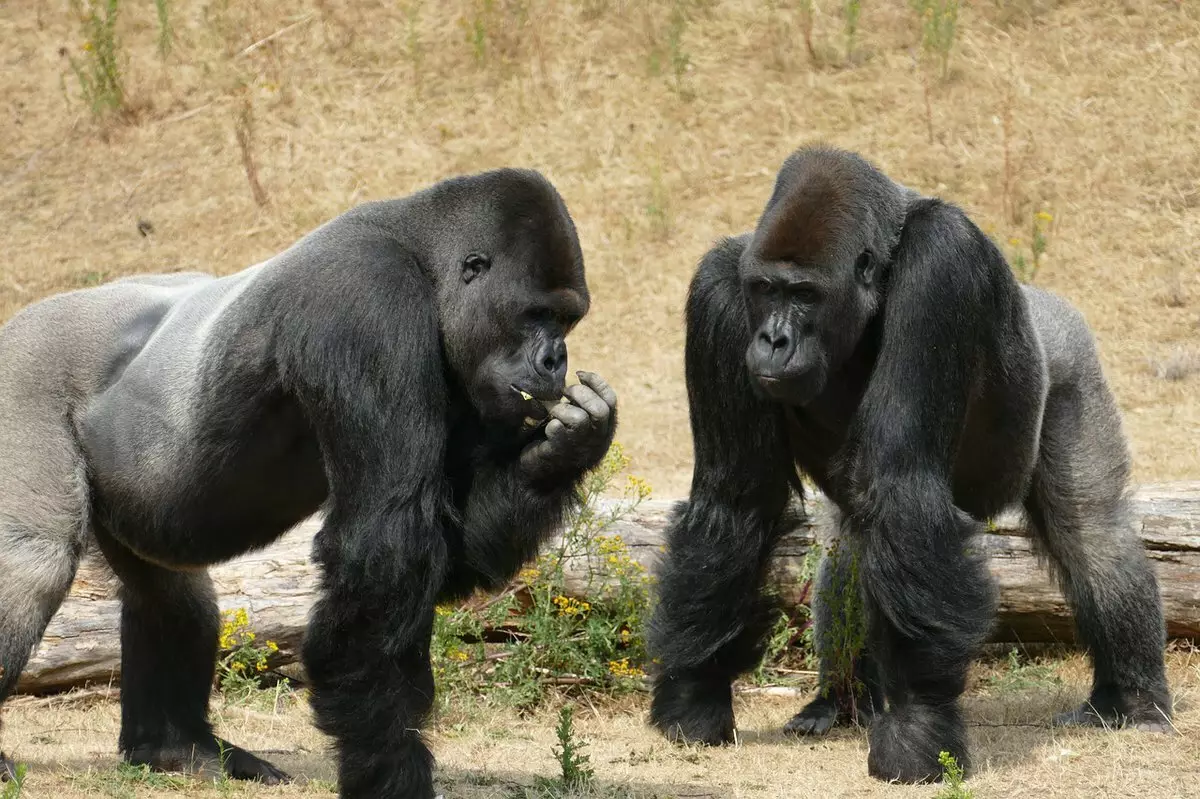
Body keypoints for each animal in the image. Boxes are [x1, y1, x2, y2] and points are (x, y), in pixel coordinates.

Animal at [0, 164, 619, 791]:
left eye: (567, 320)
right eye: (536, 315)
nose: (556, 360)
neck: (421, 257)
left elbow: (450, 550)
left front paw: (567, 447)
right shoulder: (368, 301)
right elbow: (386, 544)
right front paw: (388, 765)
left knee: (173, 591)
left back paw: (174, 748)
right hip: (22, 372)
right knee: (34, 561)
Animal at [648, 146, 1171, 782]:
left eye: (805, 295)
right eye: (766, 290)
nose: (772, 340)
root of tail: (1043, 298)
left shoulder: (941, 264)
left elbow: (901, 486)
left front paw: (916, 728)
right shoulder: (720, 291)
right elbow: (735, 499)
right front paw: (693, 692)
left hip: (1072, 356)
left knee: (1090, 527)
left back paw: (1132, 698)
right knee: (850, 545)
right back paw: (837, 705)